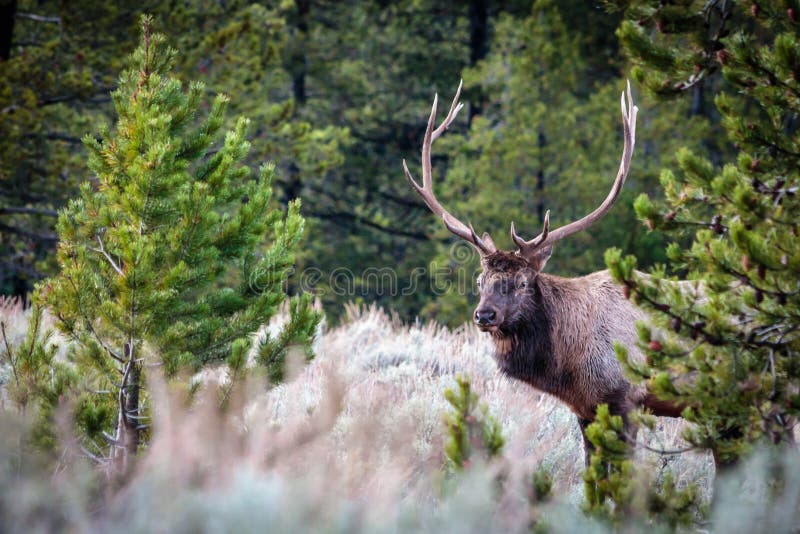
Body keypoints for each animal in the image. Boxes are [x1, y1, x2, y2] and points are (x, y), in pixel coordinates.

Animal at [402, 81, 683, 465]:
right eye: (480, 281)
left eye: (522, 282)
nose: (484, 315)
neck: (570, 365)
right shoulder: (586, 410)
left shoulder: (627, 397)